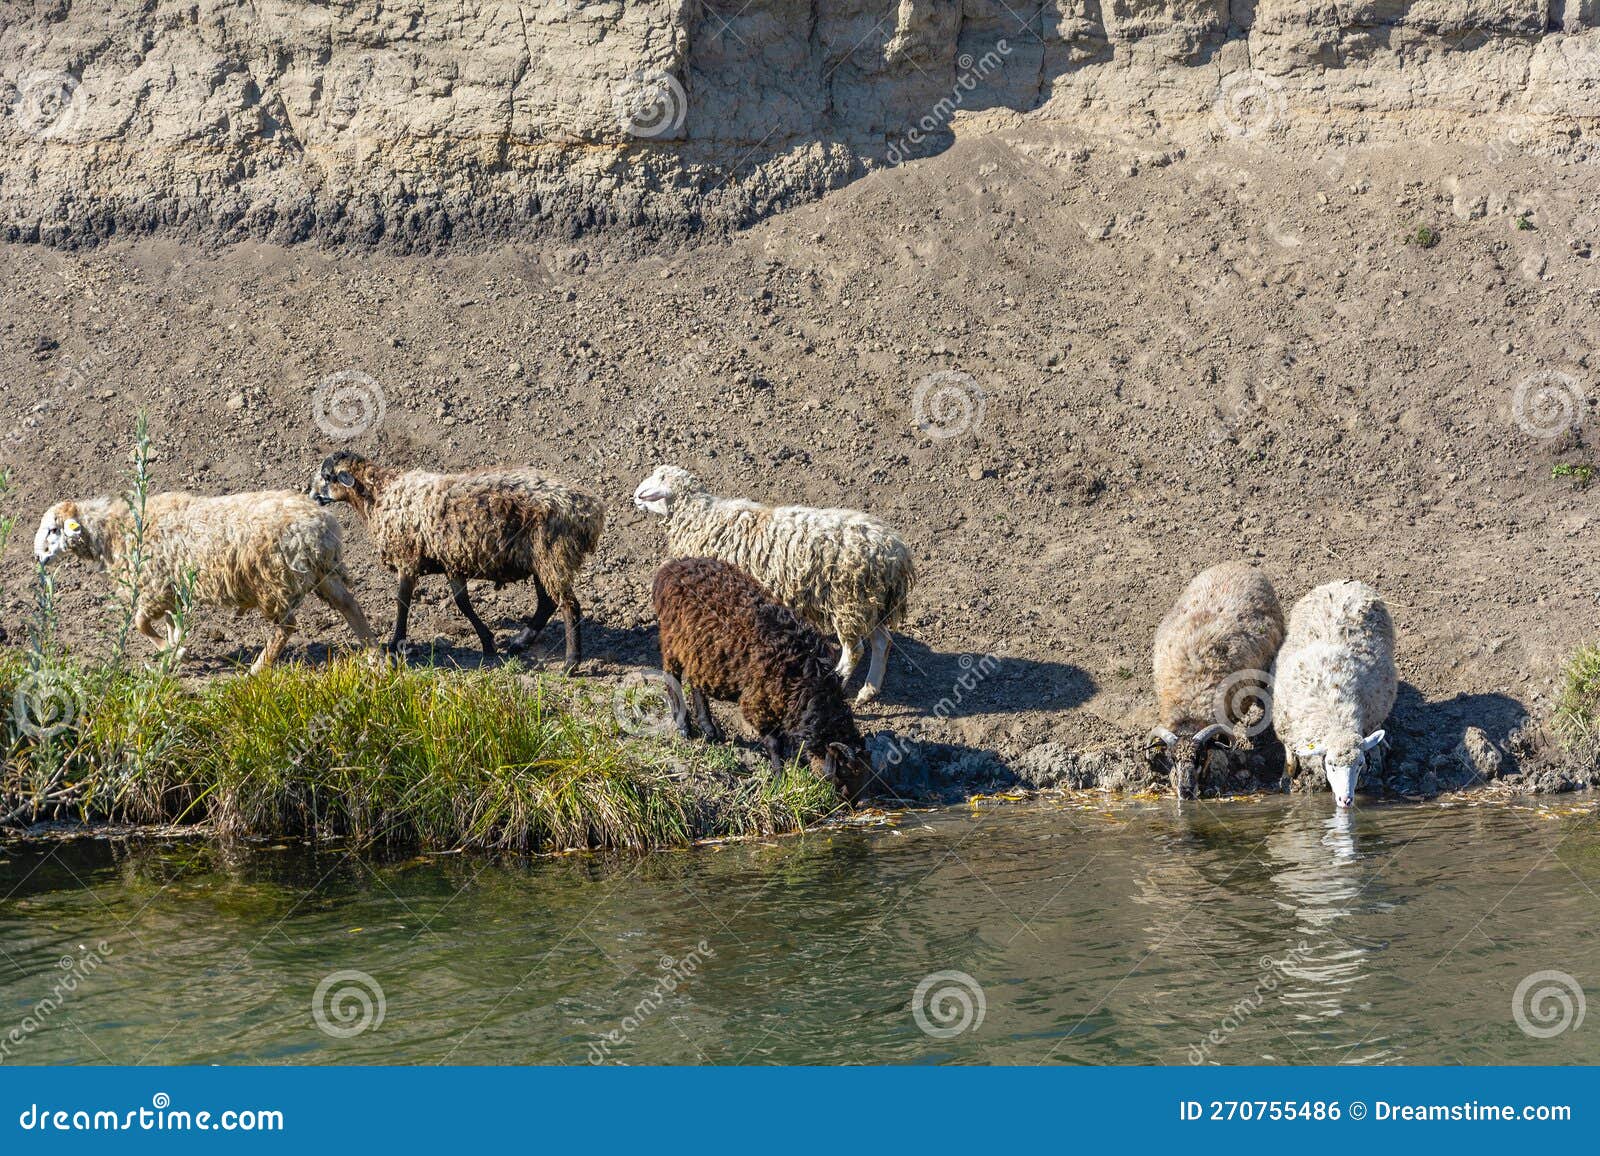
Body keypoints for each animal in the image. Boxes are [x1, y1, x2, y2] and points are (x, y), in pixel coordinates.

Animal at [33, 491, 376, 673]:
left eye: (54, 529)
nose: (39, 558)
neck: (117, 531)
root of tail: (323, 525)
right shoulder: (170, 590)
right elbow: (171, 623)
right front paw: (174, 650)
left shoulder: (154, 587)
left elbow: (141, 624)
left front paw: (173, 653)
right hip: (323, 573)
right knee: (350, 605)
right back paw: (374, 652)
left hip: (273, 581)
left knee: (286, 628)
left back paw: (257, 670)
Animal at [309, 452, 604, 671]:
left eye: (327, 476)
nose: (311, 496)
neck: (382, 495)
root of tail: (589, 510)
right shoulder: (452, 561)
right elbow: (462, 603)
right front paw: (488, 643)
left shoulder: (408, 558)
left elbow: (403, 602)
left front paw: (395, 643)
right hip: (541, 559)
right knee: (547, 603)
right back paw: (520, 642)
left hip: (552, 554)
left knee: (568, 605)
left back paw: (570, 663)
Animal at [632, 465, 914, 704]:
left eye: (659, 481)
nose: (634, 497)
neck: (699, 518)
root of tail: (896, 552)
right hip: (869, 604)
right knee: (883, 642)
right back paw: (869, 690)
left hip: (848, 601)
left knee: (854, 651)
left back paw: (840, 682)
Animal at [651, 556, 874, 802]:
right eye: (845, 771)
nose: (862, 802)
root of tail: (671, 568)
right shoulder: (759, 703)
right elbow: (774, 743)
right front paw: (779, 777)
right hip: (672, 639)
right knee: (672, 677)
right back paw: (683, 725)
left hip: (699, 653)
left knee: (697, 685)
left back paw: (709, 729)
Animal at [1271, 580, 1397, 808]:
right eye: (1331, 764)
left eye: (1359, 764)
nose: (1346, 800)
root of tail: (1345, 582)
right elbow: (1290, 757)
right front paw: (1287, 778)